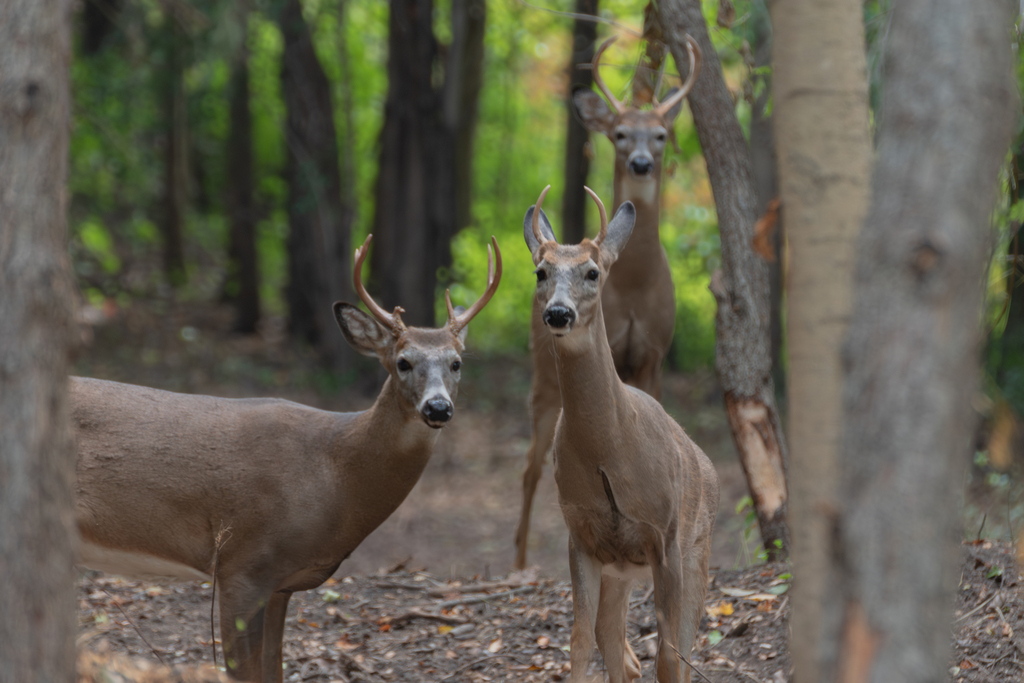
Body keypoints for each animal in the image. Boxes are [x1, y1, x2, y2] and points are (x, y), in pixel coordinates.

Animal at [72, 233, 501, 683]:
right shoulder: (240, 565)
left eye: (456, 363)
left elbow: (273, 669)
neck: (333, 473)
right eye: (403, 362)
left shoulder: (281, 584)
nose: (438, 407)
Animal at [514, 35, 702, 569]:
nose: (641, 163)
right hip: (540, 377)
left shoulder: (654, 354)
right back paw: (519, 562)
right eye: (619, 133)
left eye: (660, 134)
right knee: (529, 469)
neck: (635, 286)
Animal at [523, 185, 718, 683]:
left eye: (593, 272)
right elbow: (579, 641)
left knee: (681, 645)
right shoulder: (582, 537)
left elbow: (670, 653)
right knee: (610, 636)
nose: (558, 313)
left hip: (697, 549)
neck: (608, 452)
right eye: (540, 271)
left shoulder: (665, 537)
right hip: (621, 571)